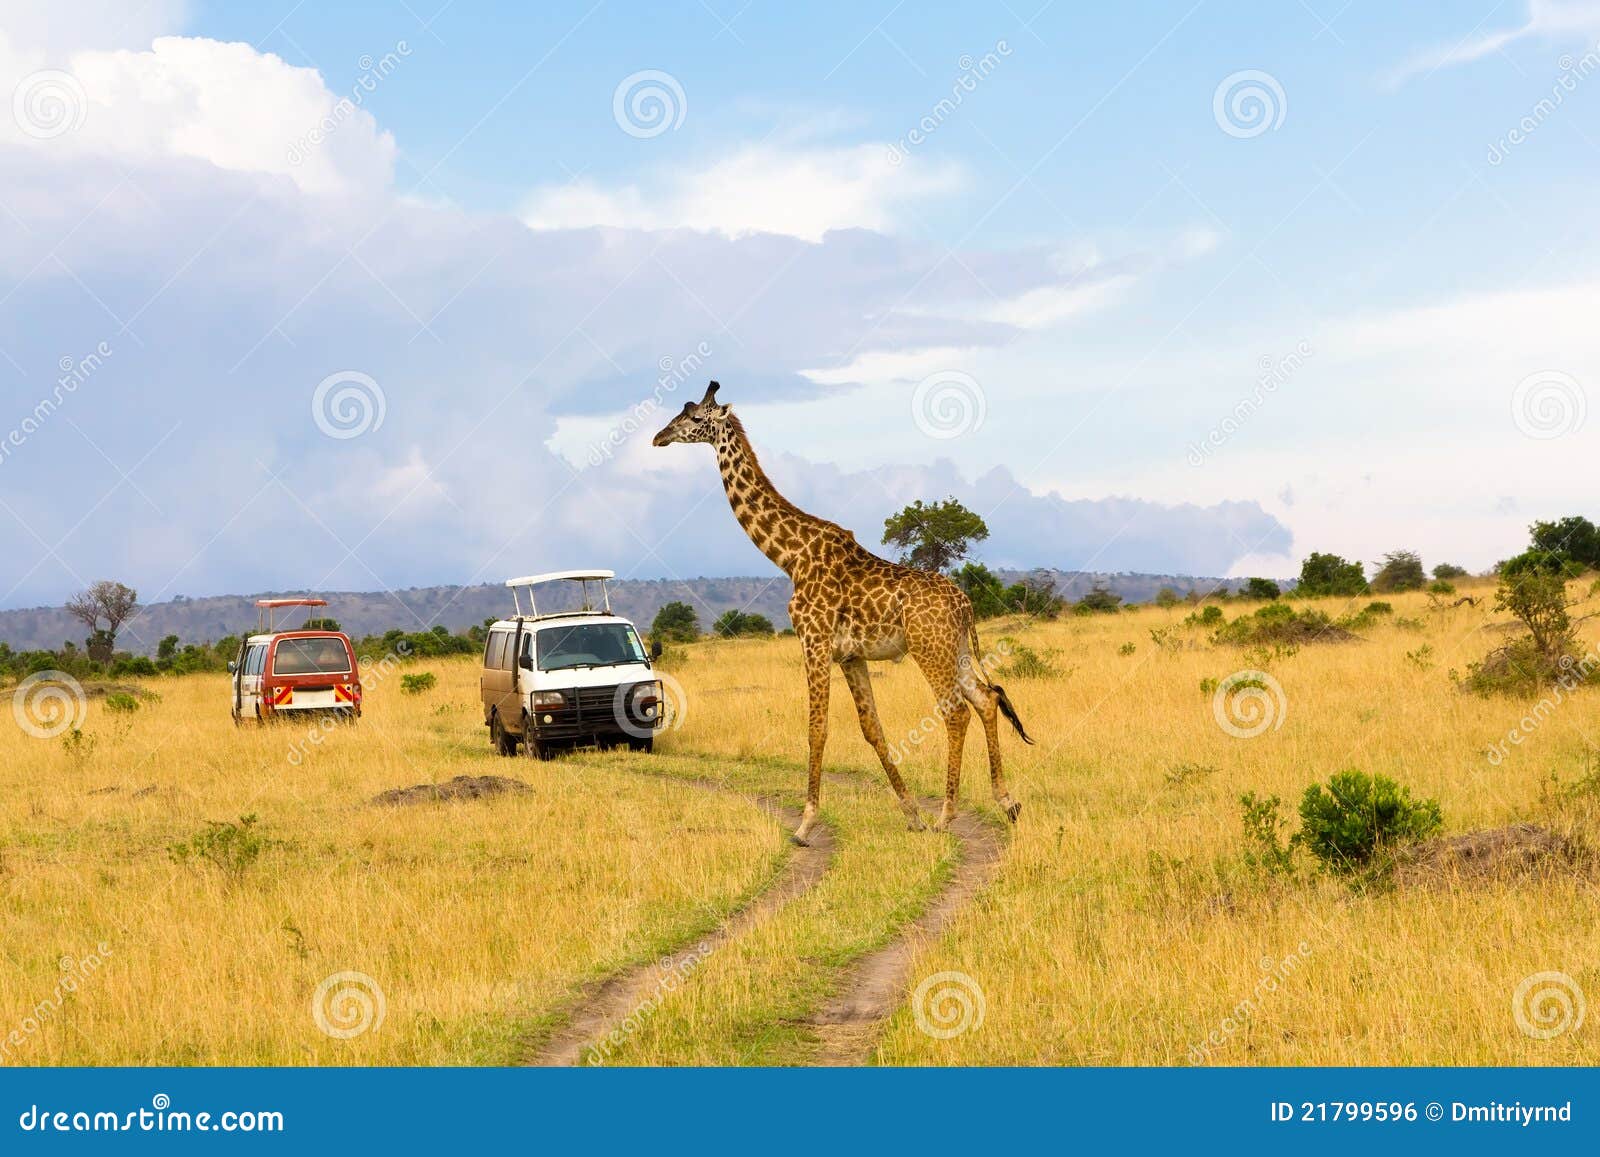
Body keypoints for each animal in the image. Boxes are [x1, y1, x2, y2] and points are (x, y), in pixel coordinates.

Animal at [653, 381, 1032, 845]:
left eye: (693, 418)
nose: (659, 437)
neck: (790, 555)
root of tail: (966, 605)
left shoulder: (813, 641)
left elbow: (817, 728)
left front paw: (805, 823)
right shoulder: (851, 655)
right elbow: (872, 729)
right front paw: (911, 814)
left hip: (929, 649)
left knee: (956, 711)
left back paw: (947, 815)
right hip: (954, 649)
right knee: (986, 698)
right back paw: (1006, 802)